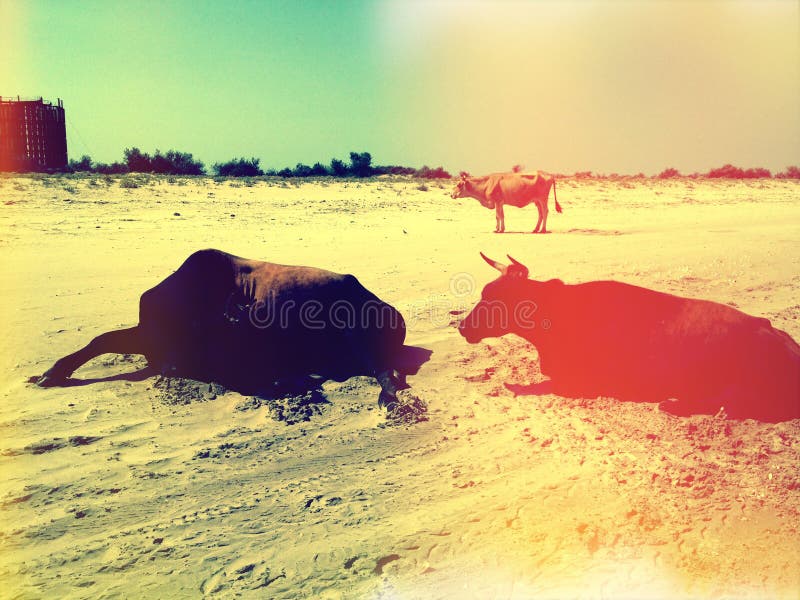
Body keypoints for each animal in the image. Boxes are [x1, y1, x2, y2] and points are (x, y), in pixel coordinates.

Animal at [37, 249, 426, 410]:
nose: (278, 380)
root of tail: (393, 312)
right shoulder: (150, 341)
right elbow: (100, 340)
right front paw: (54, 372)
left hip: (362, 341)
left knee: (387, 375)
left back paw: (393, 401)